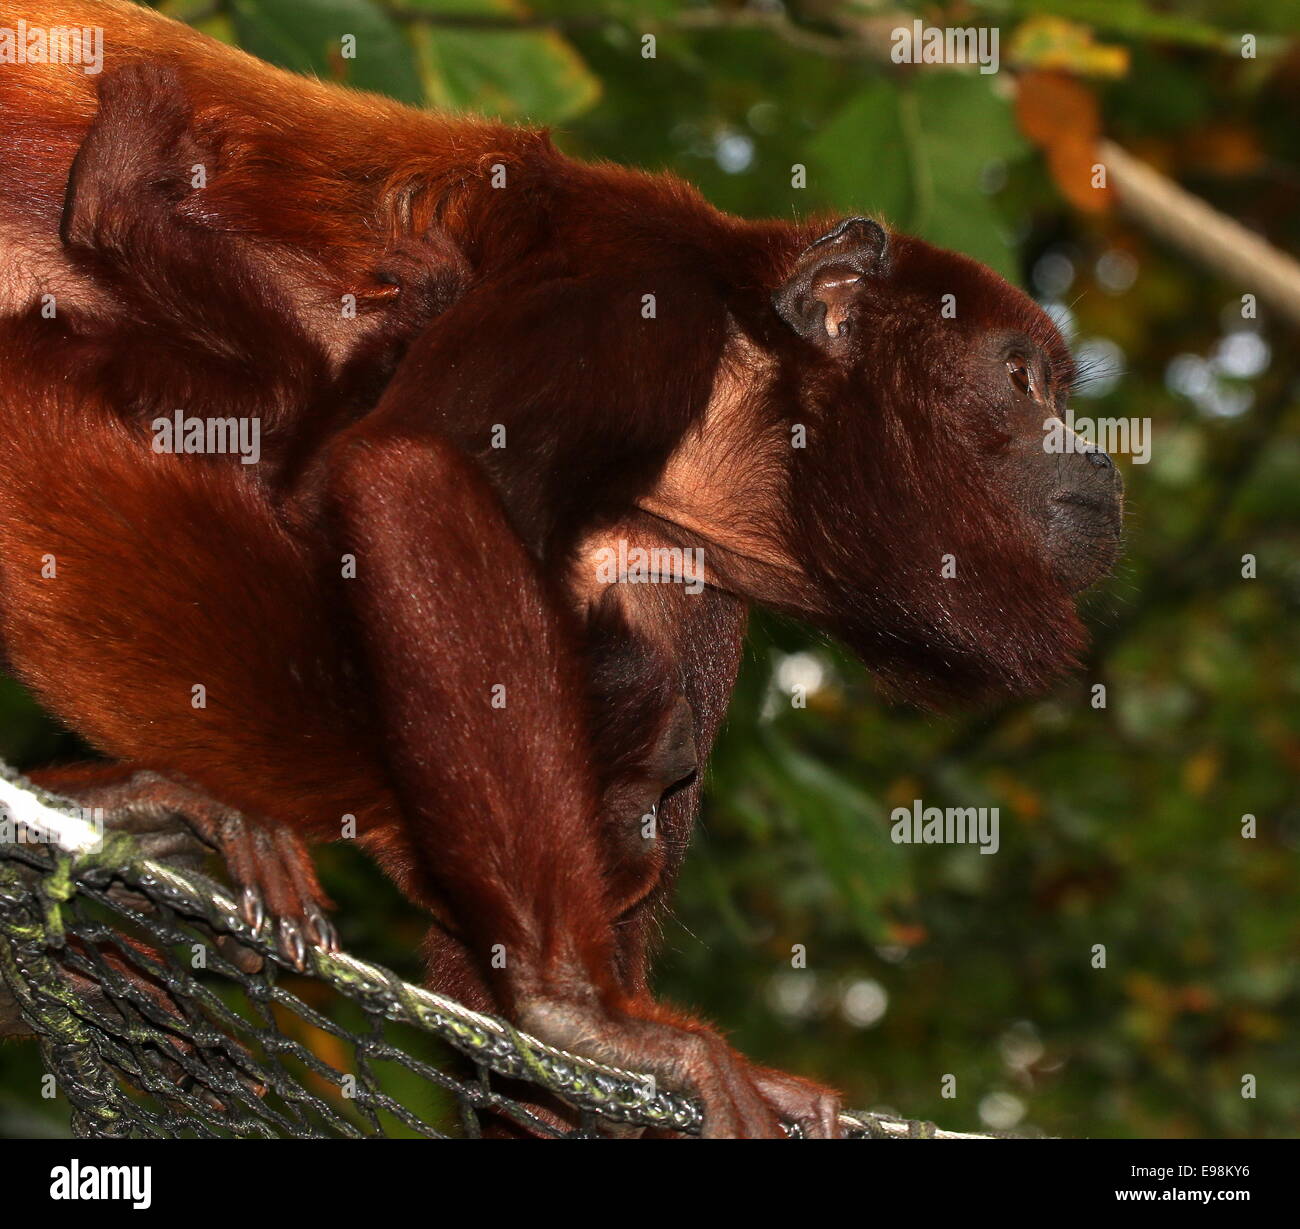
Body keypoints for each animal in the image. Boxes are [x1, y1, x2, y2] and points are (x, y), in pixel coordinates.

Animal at [0, 1, 1123, 1136]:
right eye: (1022, 380)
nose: (1104, 459)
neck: (735, 392)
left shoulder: (689, 580)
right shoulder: (630, 293)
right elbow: (407, 472)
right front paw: (579, 1013)